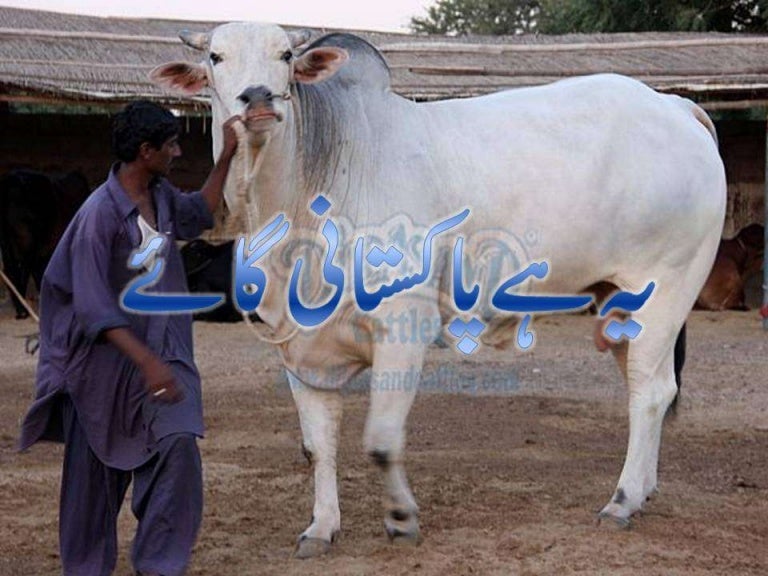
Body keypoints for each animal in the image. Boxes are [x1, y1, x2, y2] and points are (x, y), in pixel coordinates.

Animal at [151, 23, 726, 558]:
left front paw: (401, 517)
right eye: (215, 56)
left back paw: (622, 501)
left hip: (665, 288)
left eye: (286, 54)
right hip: (616, 301)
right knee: (643, 389)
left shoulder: (404, 327)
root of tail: (674, 106)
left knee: (651, 391)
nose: (258, 98)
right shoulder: (298, 346)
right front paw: (320, 527)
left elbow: (382, 441)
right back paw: (642, 490)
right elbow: (318, 446)